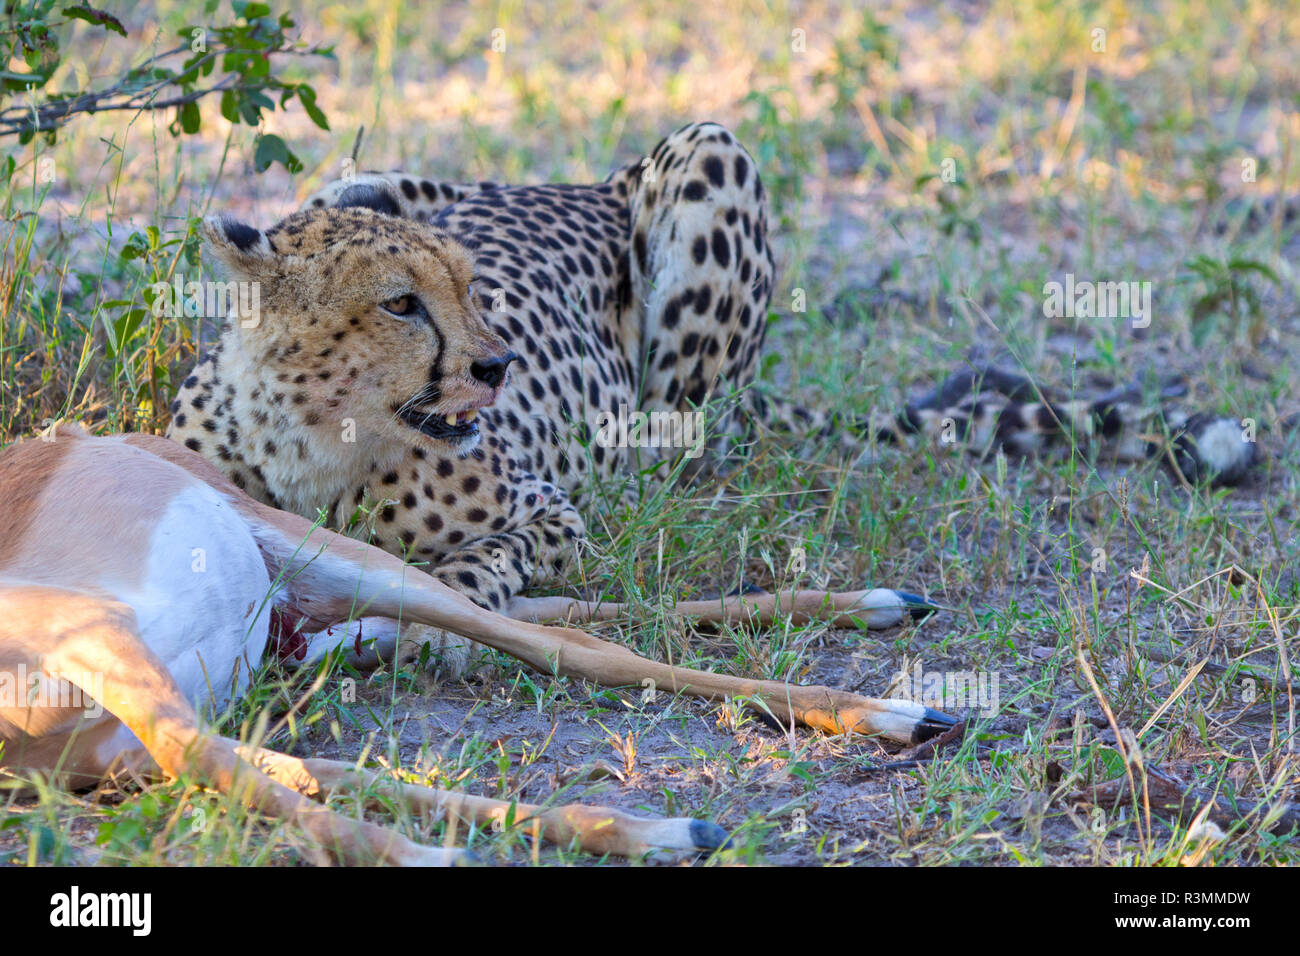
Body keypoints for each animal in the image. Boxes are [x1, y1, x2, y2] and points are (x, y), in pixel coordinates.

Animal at [167, 121, 1257, 675]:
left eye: (471, 285)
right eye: (401, 303)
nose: (497, 365)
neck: (315, 430)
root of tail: (581, 181)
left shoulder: (550, 513)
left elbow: (475, 566)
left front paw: (424, 621)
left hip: (708, 159)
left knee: (684, 441)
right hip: (357, 175)